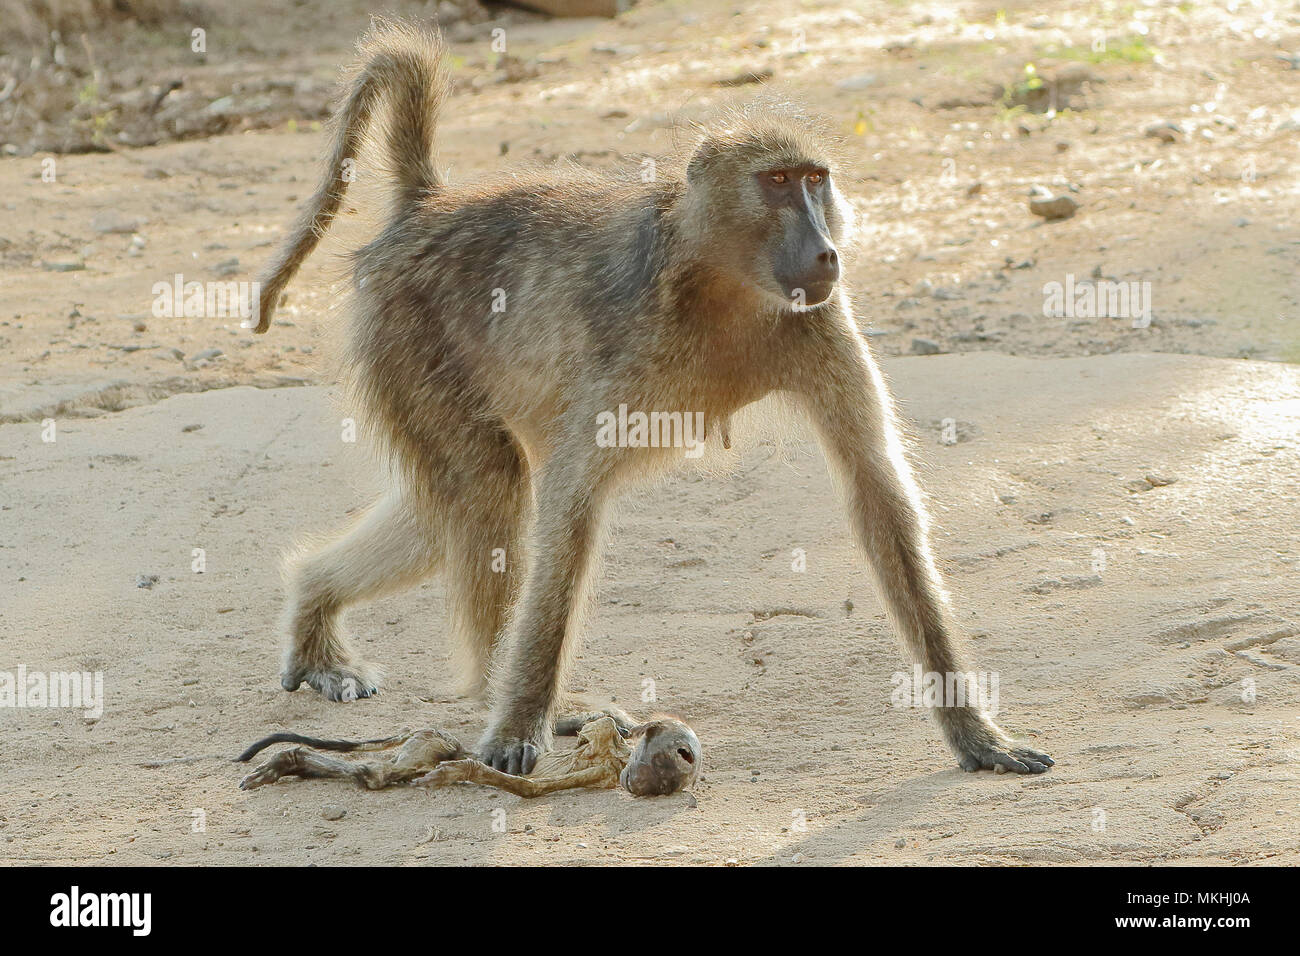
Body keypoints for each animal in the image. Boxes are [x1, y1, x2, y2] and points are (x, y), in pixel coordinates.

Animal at [251, 18, 1052, 779]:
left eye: (816, 179)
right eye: (777, 181)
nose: (828, 252)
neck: (725, 282)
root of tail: (430, 204)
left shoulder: (824, 325)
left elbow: (878, 495)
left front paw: (977, 735)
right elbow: (570, 504)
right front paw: (518, 726)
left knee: (448, 506)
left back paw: (315, 618)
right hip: (407, 337)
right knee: (486, 491)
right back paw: (488, 688)